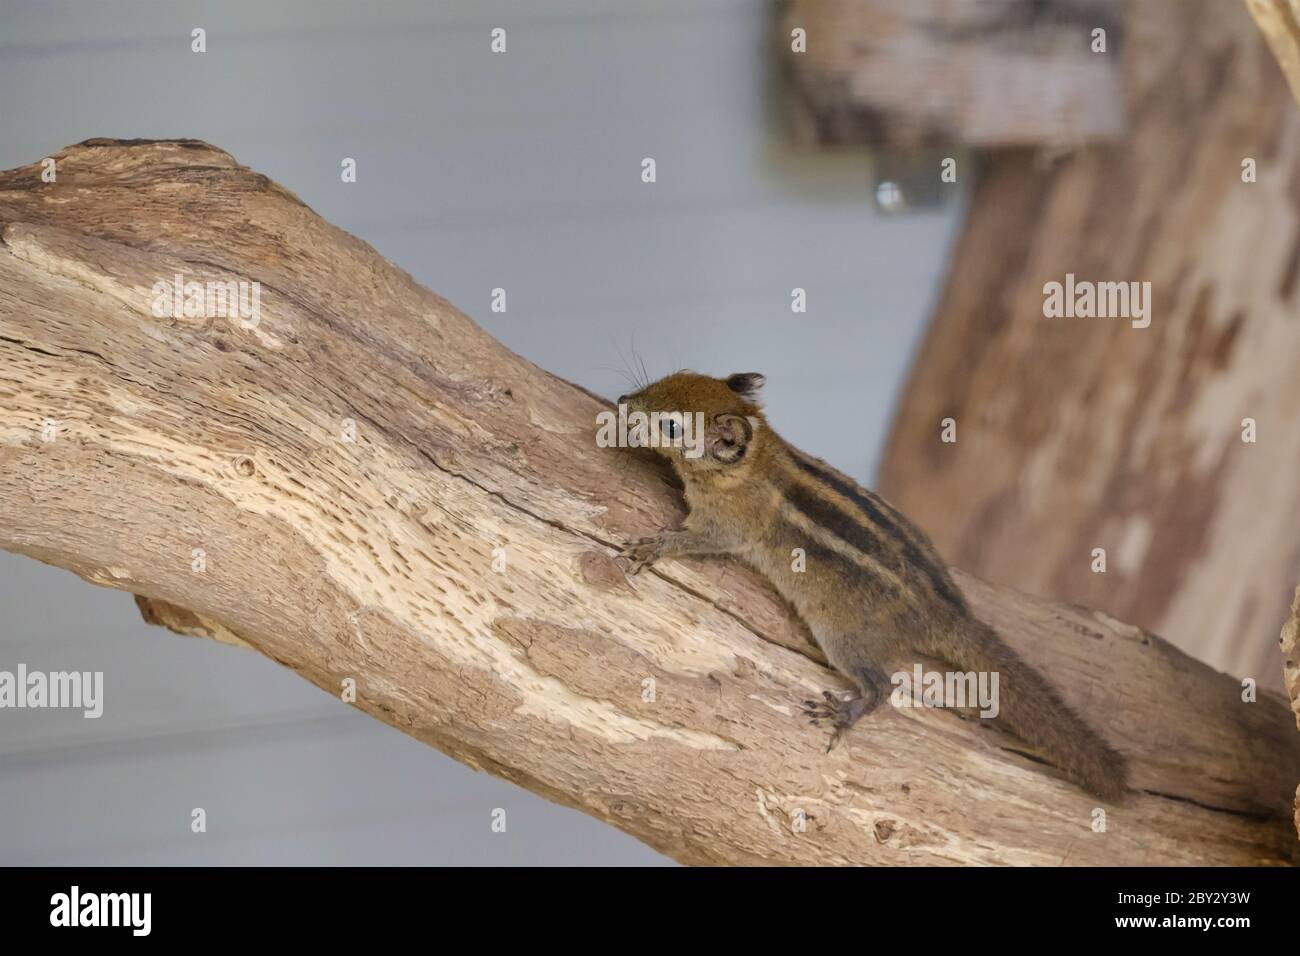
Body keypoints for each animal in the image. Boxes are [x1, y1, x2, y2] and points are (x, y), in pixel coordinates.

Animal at [614, 370, 1128, 801]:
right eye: (669, 375)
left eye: (672, 427)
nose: (622, 401)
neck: (755, 462)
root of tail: (949, 615)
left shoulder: (727, 526)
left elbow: (696, 539)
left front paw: (654, 546)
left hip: (844, 638)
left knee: (883, 685)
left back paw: (847, 712)